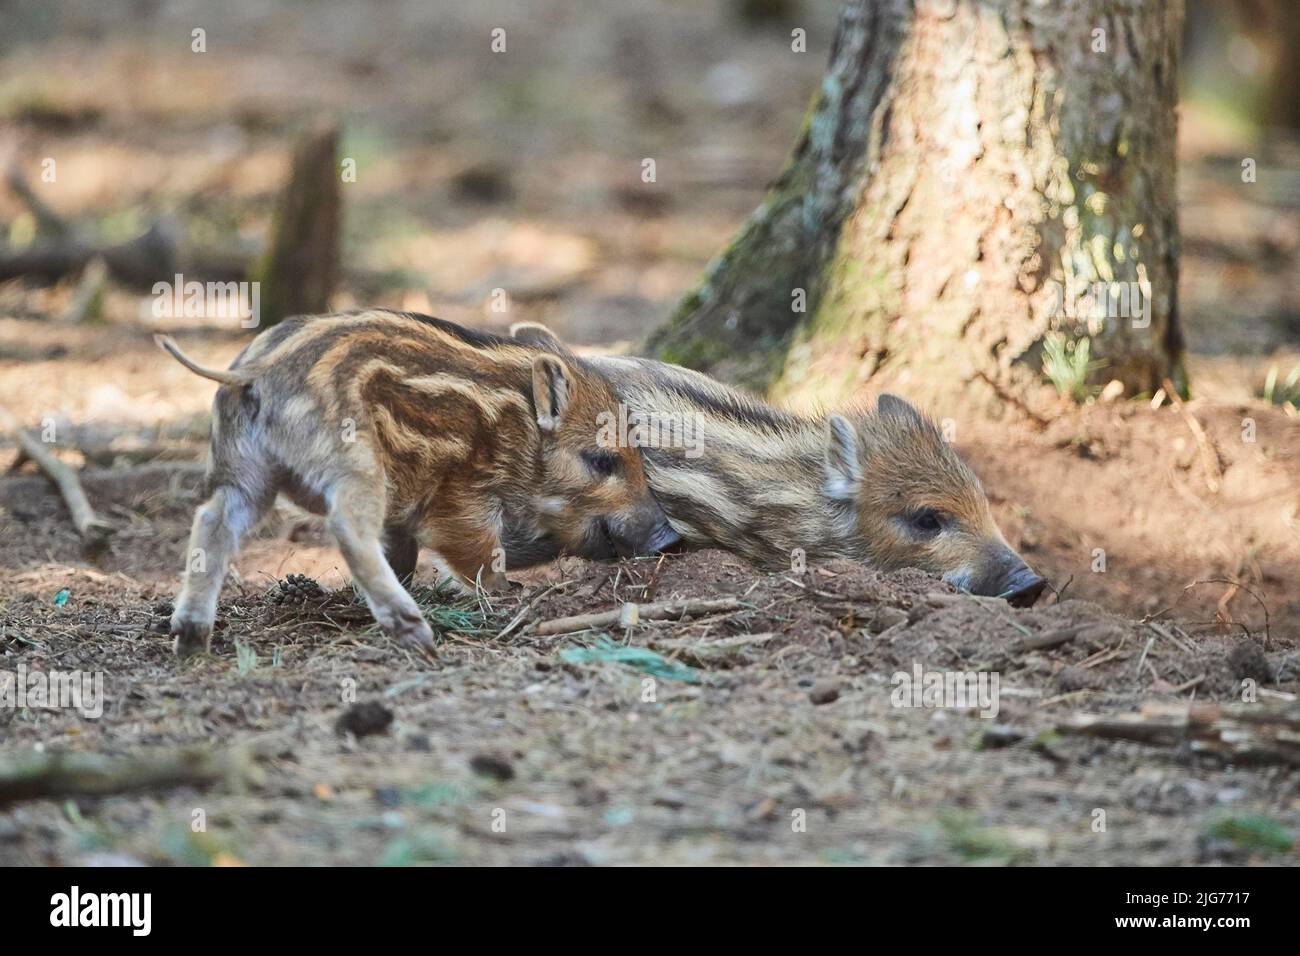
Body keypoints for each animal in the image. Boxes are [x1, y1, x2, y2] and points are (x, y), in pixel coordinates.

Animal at [157, 309, 679, 657]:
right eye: (601, 460)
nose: (668, 537)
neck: (523, 436)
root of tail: (259, 369)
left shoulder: (407, 513)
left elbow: (407, 551)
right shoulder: (462, 495)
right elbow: (478, 554)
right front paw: (506, 593)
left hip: (244, 468)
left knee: (213, 518)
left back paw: (190, 635)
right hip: (353, 464)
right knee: (346, 528)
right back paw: (412, 628)